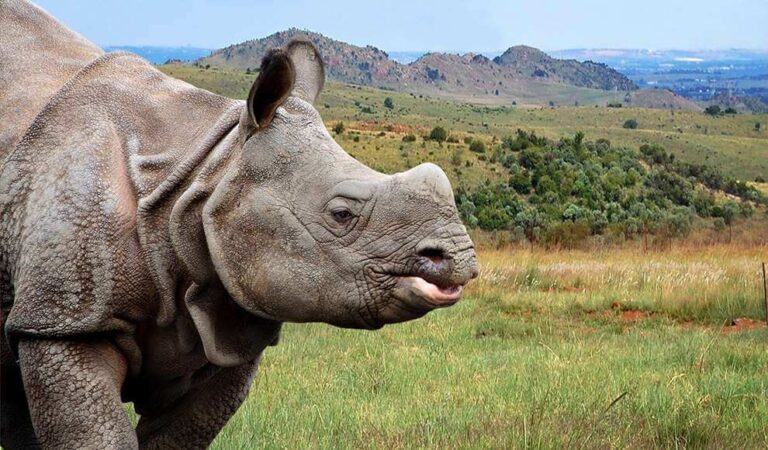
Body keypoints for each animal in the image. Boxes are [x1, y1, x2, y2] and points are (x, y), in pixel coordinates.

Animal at [0, 1, 478, 448]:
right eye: (341, 214)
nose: (459, 259)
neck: (207, 170)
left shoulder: (227, 323)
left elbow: (181, 433)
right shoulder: (62, 321)